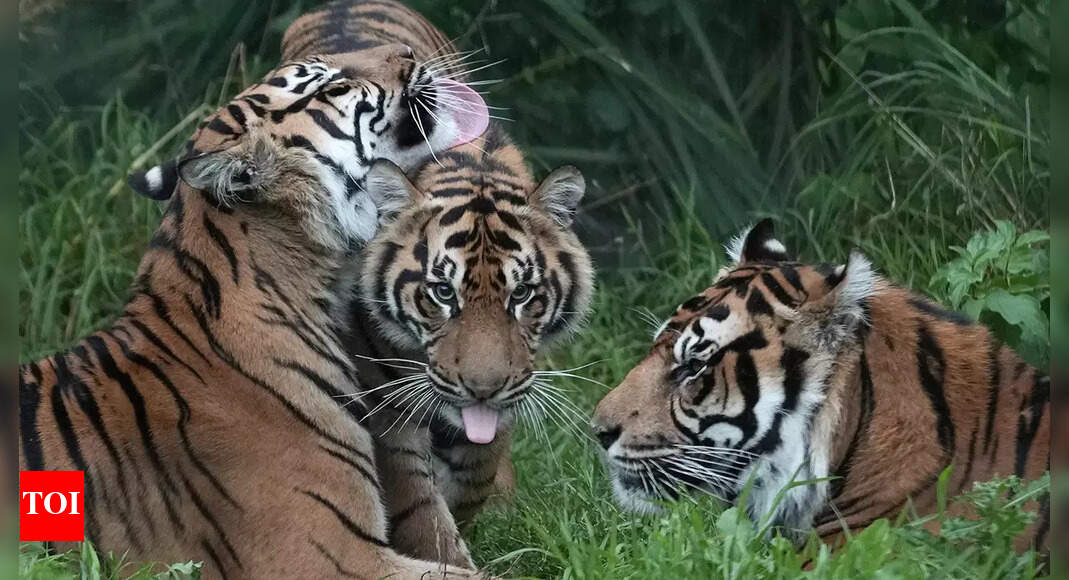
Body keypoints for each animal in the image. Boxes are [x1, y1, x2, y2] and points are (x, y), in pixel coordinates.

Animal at [278, 0, 595, 568]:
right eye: (442, 293)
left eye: (522, 295)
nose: (483, 387)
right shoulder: (385, 408)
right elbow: (421, 510)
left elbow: (474, 476)